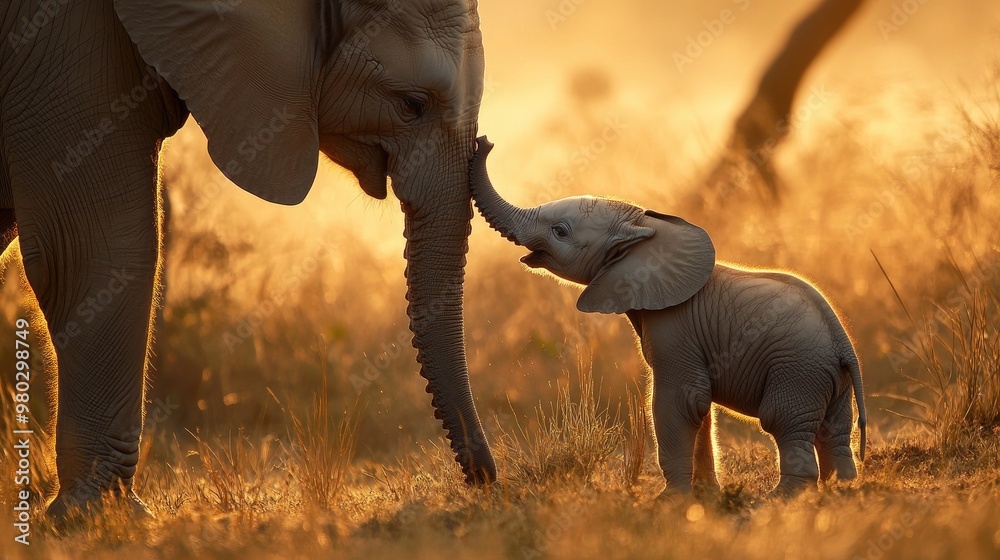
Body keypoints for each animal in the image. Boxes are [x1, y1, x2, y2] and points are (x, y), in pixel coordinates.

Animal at [469, 137, 867, 494]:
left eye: (560, 231)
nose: (484, 140)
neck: (646, 229)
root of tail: (843, 343)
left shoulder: (675, 326)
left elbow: (680, 401)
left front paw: (671, 500)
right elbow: (701, 410)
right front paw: (706, 495)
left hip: (797, 370)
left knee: (784, 422)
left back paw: (783, 498)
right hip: (828, 378)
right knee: (834, 429)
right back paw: (842, 490)